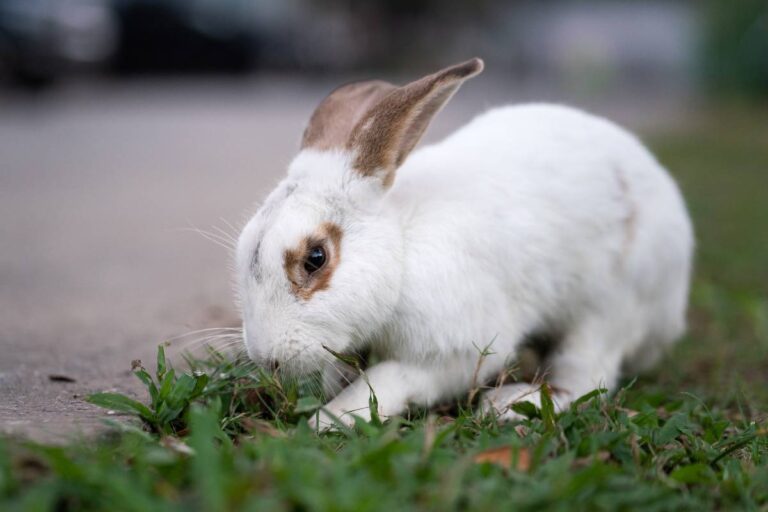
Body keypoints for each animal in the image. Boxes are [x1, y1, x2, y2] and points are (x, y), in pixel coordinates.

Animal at [234, 58, 694, 429]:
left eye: (316, 258)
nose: (267, 359)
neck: (402, 252)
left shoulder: (458, 351)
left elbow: (388, 380)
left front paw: (331, 419)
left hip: (607, 311)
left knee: (584, 379)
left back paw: (512, 402)